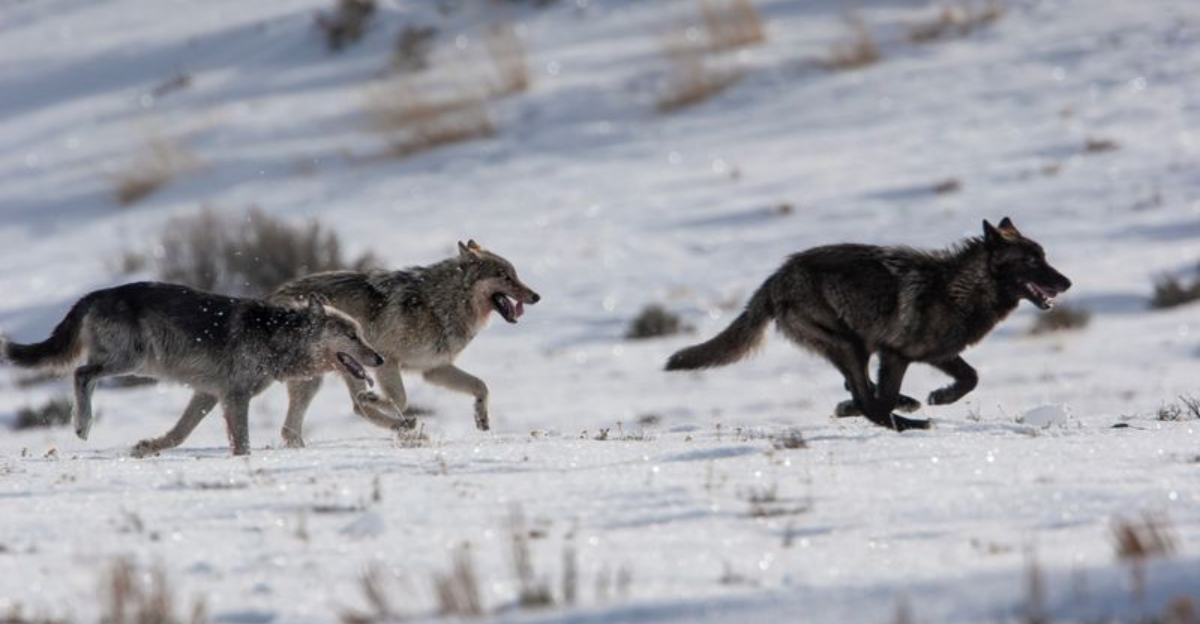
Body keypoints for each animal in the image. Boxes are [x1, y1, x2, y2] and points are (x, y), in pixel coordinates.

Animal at [1, 282, 384, 456]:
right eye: (352, 335)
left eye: (363, 334)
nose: (379, 359)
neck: (276, 336)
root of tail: (92, 294)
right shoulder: (236, 397)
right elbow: (243, 442)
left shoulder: (209, 394)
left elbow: (180, 433)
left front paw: (147, 447)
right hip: (131, 361)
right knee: (80, 374)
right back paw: (82, 423)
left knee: (84, 375)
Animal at [270, 240, 540, 447]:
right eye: (504, 276)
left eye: (515, 274)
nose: (536, 296)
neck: (439, 304)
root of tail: (272, 296)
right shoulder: (387, 360)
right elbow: (401, 400)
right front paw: (381, 403)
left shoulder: (434, 369)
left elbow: (481, 385)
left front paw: (481, 417)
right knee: (354, 407)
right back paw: (400, 423)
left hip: (326, 375)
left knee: (296, 428)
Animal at [665, 218, 1072, 431]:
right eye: (1032, 261)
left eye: (1043, 256)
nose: (1067, 283)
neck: (957, 289)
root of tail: (777, 277)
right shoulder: (895, 354)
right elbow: (884, 398)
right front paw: (913, 410)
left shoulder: (939, 354)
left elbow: (971, 378)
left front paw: (939, 397)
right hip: (850, 346)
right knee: (869, 400)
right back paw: (904, 420)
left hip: (854, 348)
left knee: (860, 391)